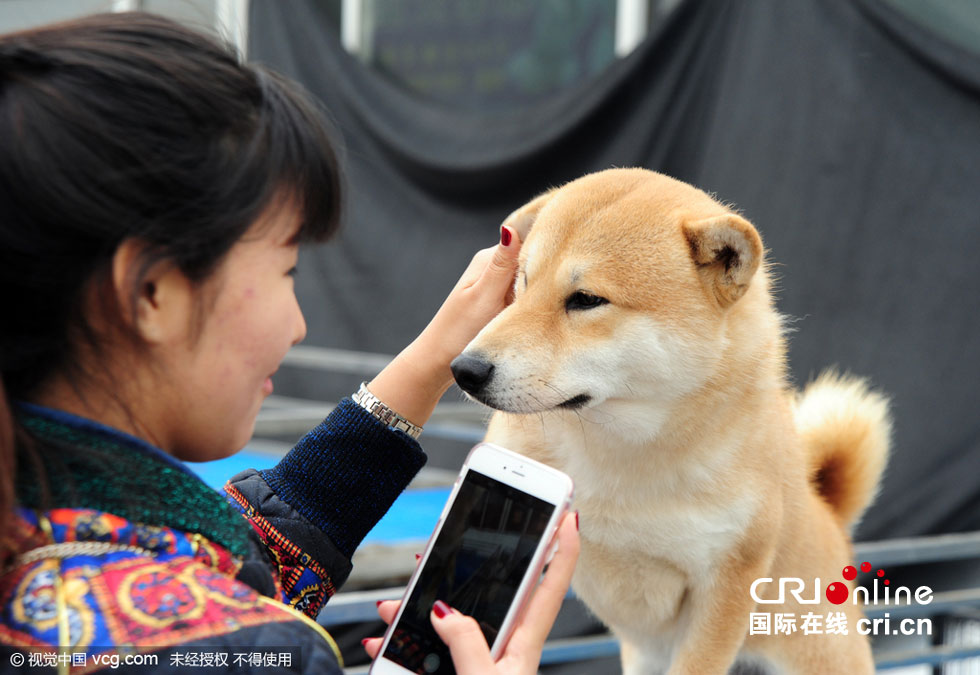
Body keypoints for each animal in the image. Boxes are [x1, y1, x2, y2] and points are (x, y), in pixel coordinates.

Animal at [450, 168, 888, 672]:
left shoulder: (727, 585)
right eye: (522, 281)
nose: (465, 369)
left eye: (586, 299)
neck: (618, 455)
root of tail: (831, 518)